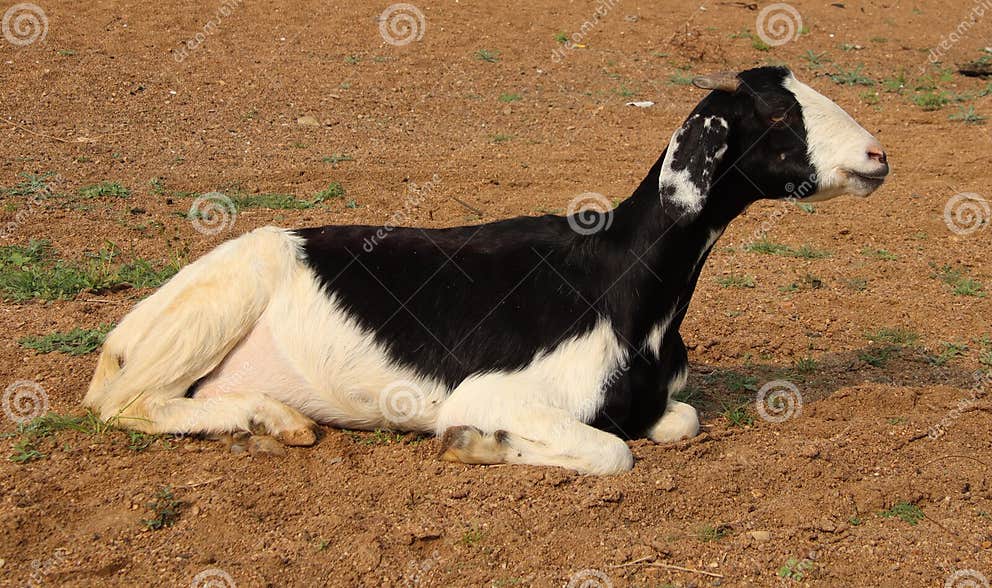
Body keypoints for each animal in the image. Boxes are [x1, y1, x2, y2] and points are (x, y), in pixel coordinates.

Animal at [84, 66, 889, 475]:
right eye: (778, 118)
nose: (877, 156)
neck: (625, 284)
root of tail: (118, 339)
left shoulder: (660, 401)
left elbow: (679, 421)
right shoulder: (500, 392)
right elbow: (611, 453)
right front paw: (479, 443)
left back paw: (271, 418)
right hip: (219, 301)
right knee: (125, 406)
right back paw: (273, 418)